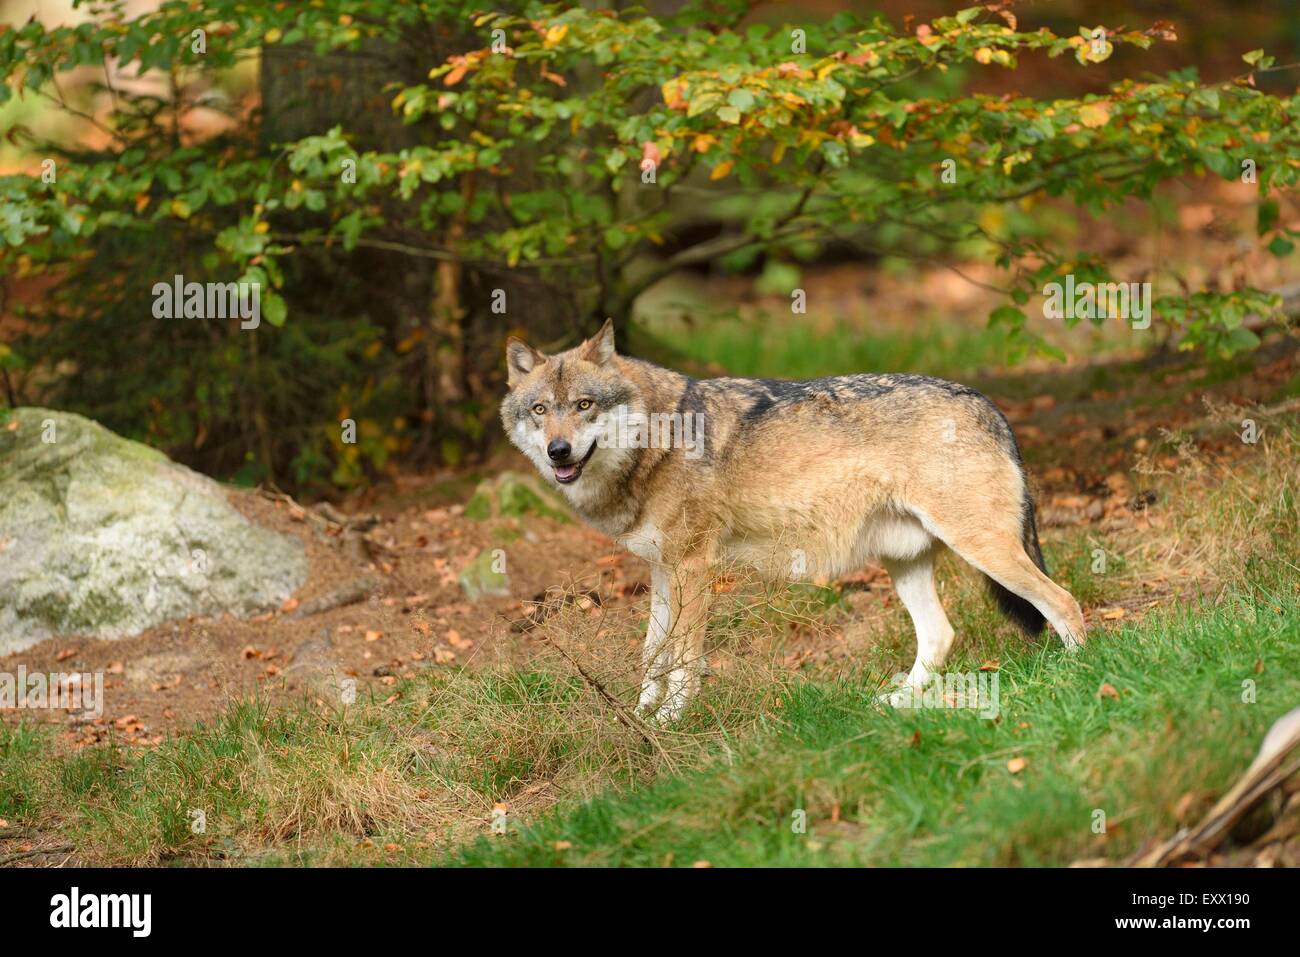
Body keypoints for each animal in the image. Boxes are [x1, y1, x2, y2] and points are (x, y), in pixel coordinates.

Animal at [501, 320, 1086, 722]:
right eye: (540, 411)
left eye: (584, 405)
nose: (558, 452)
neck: (656, 443)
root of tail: (987, 403)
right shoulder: (664, 572)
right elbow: (652, 654)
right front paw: (641, 717)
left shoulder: (693, 567)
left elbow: (684, 660)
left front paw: (669, 723)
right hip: (904, 562)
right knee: (941, 635)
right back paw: (895, 703)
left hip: (983, 549)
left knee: (1064, 603)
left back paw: (1078, 677)